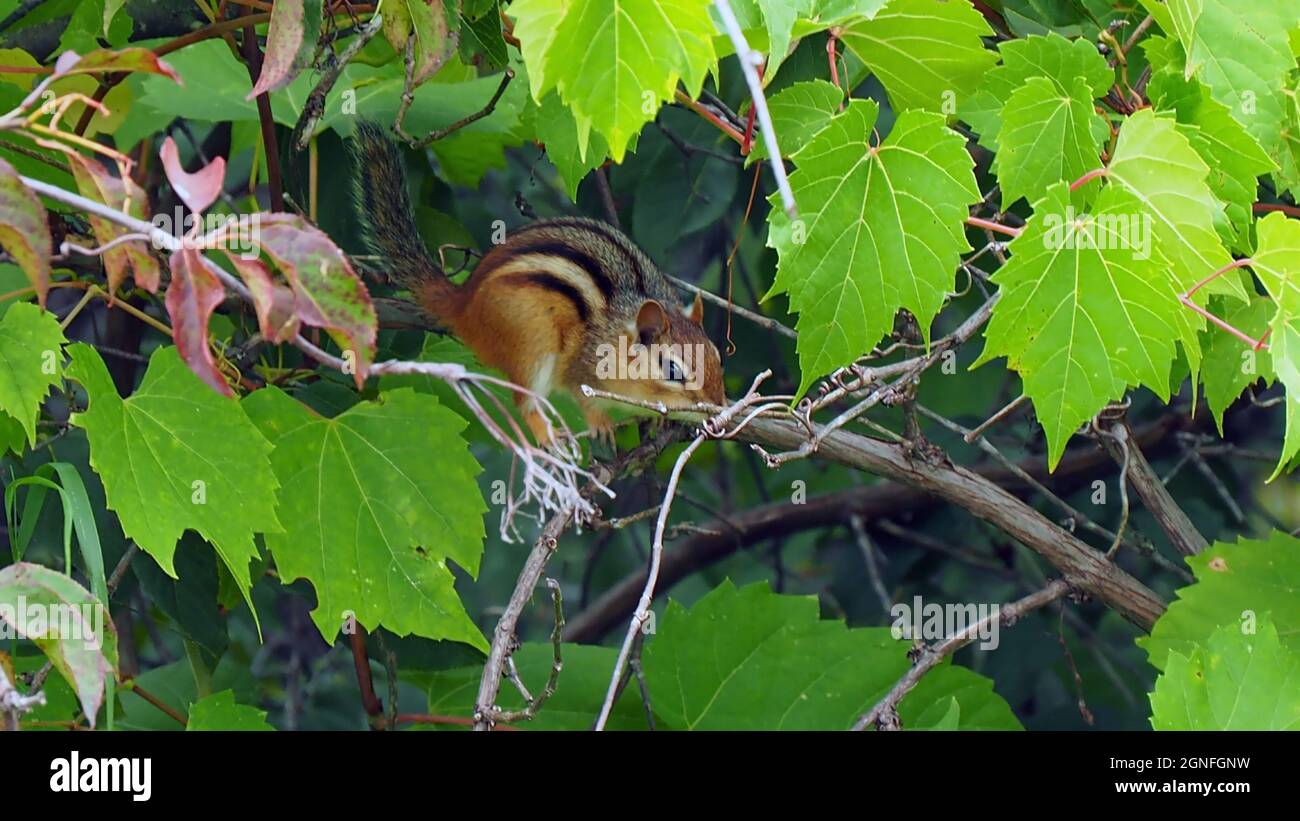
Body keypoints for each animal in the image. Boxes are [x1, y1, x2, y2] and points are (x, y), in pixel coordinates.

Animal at [350, 121, 726, 444]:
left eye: (718, 357)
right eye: (673, 371)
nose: (719, 409)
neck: (616, 336)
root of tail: (464, 302)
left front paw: (660, 421)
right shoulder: (581, 369)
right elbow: (582, 396)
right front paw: (601, 424)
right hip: (533, 343)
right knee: (523, 402)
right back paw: (544, 436)